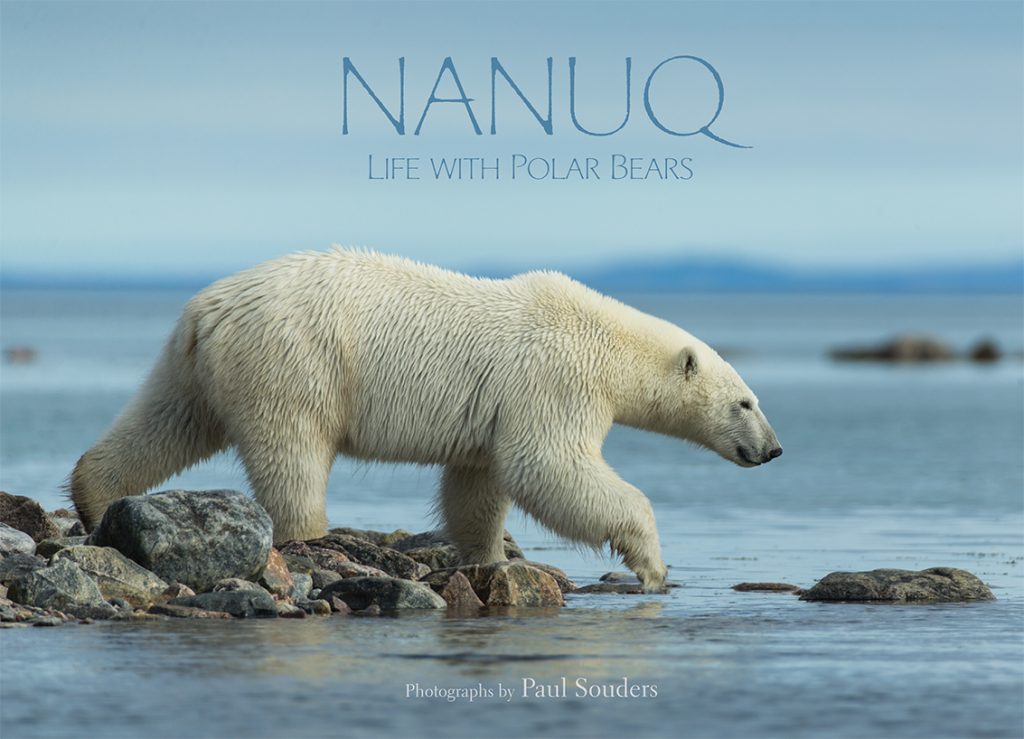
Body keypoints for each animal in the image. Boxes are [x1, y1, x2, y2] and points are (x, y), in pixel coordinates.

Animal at [69, 248, 782, 591]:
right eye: (746, 402)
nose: (773, 450)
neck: (605, 341)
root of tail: (208, 309)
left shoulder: (497, 409)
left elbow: (479, 482)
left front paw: (490, 558)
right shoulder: (553, 380)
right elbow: (550, 466)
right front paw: (653, 566)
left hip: (198, 365)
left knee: (168, 420)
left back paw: (94, 495)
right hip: (294, 362)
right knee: (292, 451)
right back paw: (313, 539)